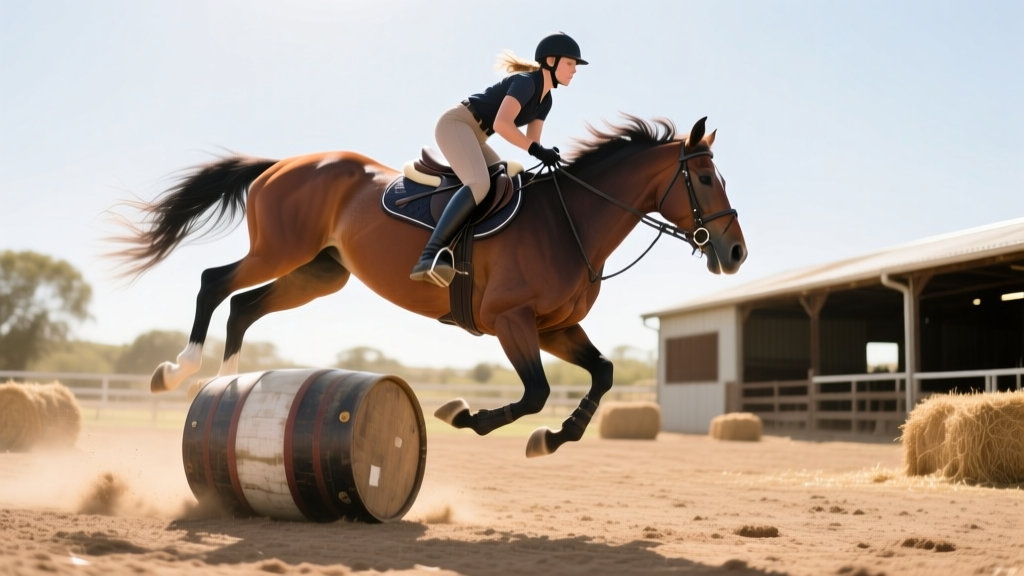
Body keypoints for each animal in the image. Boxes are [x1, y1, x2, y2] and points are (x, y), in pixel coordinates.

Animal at [112, 115, 747, 457]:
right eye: (705, 178)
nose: (736, 253)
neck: (570, 221)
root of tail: (281, 164)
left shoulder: (555, 327)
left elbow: (603, 374)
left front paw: (553, 438)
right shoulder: (511, 320)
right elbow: (535, 393)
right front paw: (465, 415)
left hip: (318, 272)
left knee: (243, 305)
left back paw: (225, 386)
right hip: (279, 250)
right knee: (213, 283)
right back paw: (179, 371)